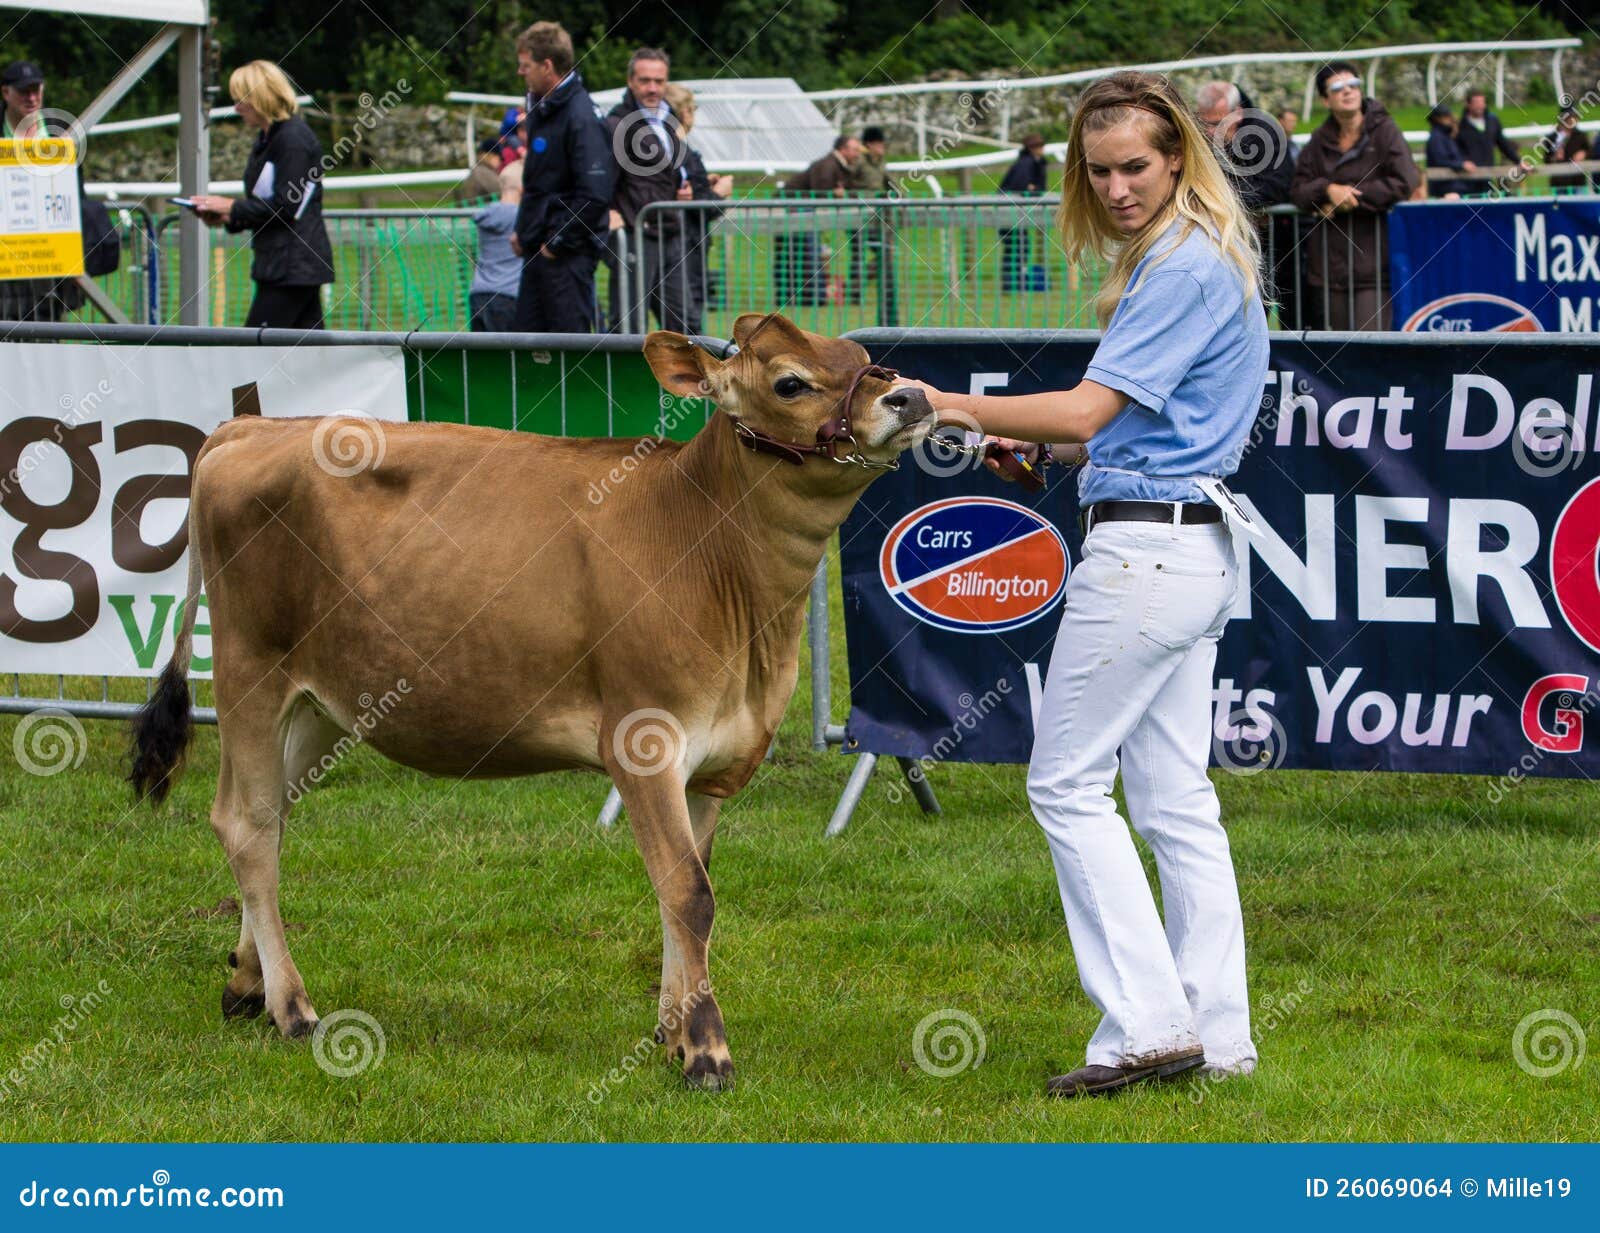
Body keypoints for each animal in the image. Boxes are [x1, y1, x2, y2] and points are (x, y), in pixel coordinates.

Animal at [128, 313, 933, 1090]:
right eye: (791, 382)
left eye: (862, 356)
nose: (912, 396)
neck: (715, 556)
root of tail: (252, 429)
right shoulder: (644, 739)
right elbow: (689, 894)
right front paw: (706, 1051)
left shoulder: (713, 759)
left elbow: (686, 888)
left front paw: (671, 1032)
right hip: (251, 673)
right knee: (249, 826)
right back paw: (293, 1006)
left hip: (324, 702)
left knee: (260, 816)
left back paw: (247, 985)